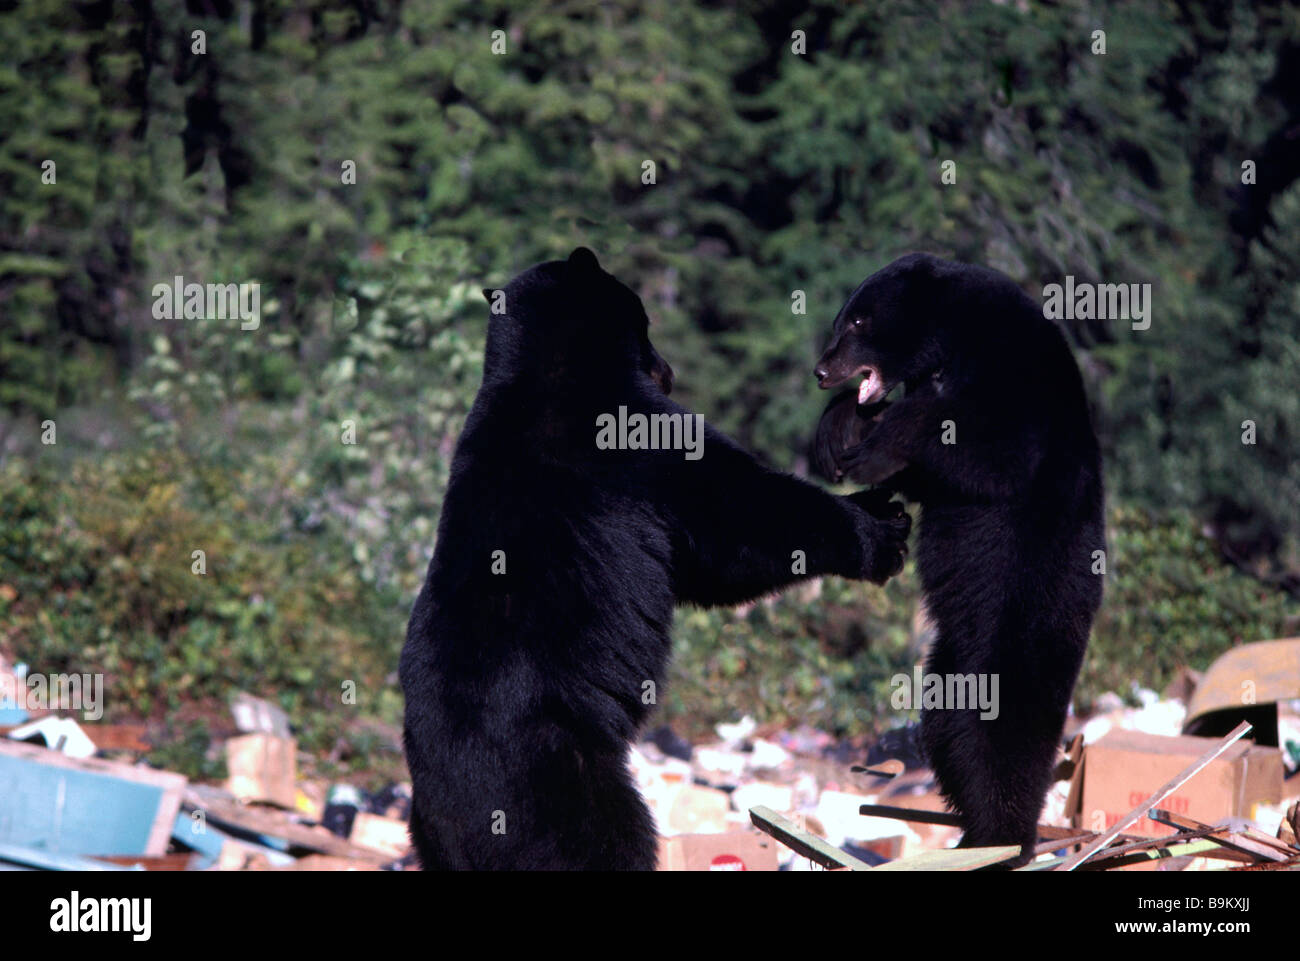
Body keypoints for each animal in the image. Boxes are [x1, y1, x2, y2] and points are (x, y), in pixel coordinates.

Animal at [400, 247, 911, 870]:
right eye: (645, 321)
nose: (668, 369)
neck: (546, 367)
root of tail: (447, 807)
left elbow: (705, 568)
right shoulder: (636, 443)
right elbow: (735, 521)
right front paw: (877, 532)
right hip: (555, 779)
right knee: (602, 841)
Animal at [810, 252, 1105, 866]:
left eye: (859, 322)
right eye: (842, 319)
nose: (821, 372)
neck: (957, 340)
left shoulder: (1021, 384)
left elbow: (989, 449)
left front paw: (876, 445)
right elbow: (928, 475)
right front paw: (839, 427)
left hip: (1023, 636)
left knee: (1001, 739)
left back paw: (1003, 838)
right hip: (952, 662)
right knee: (948, 729)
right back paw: (974, 834)